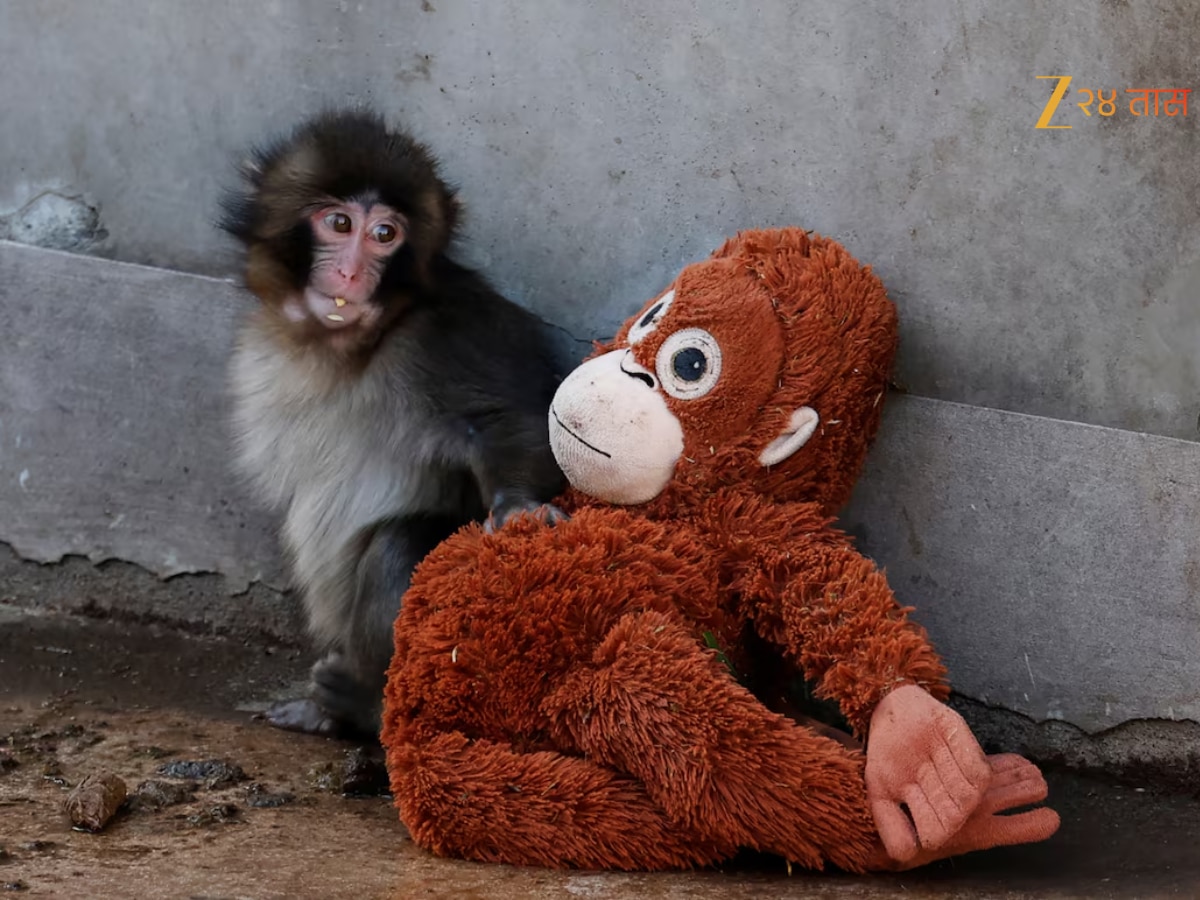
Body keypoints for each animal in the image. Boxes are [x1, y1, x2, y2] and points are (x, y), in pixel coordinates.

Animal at [220, 109, 568, 739]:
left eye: (386, 235)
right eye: (338, 223)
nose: (352, 271)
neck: (349, 346)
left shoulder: (447, 331)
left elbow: (515, 419)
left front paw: (518, 507)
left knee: (397, 546)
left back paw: (362, 705)